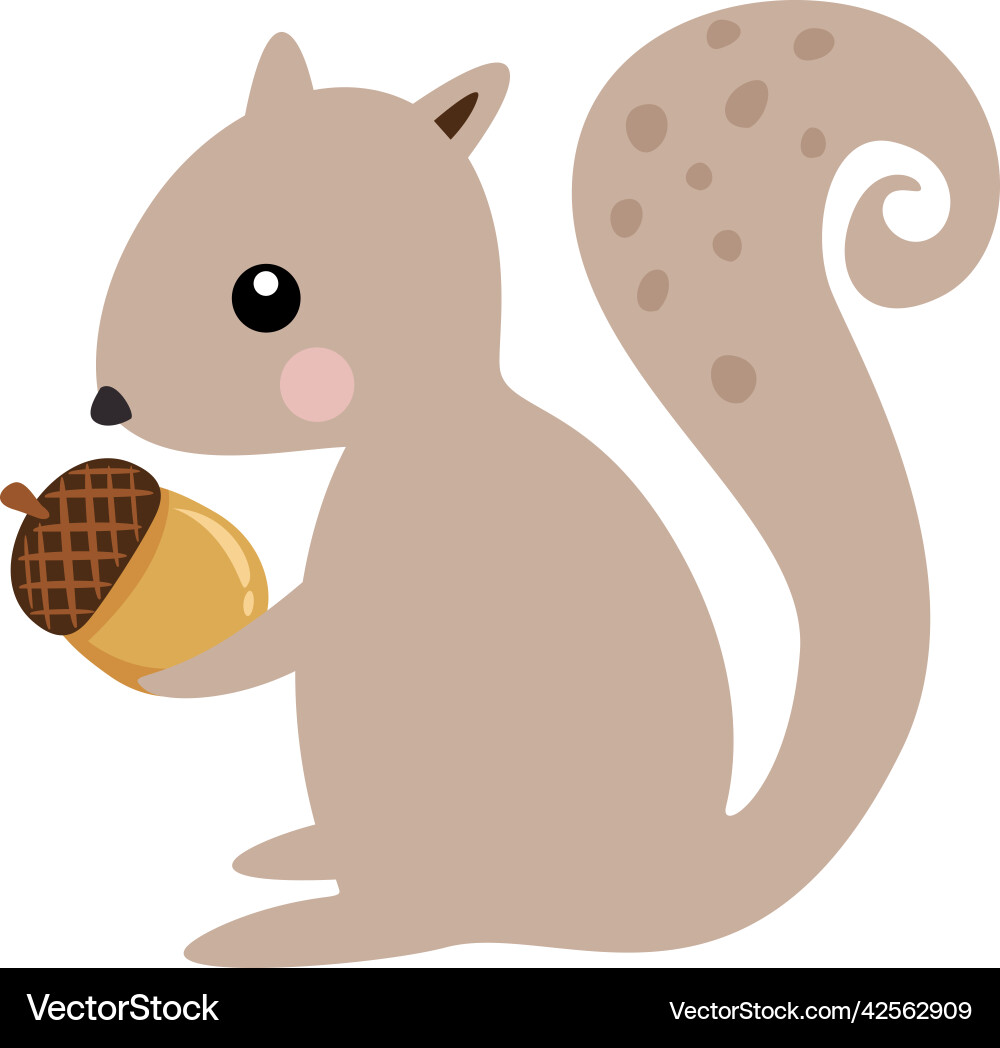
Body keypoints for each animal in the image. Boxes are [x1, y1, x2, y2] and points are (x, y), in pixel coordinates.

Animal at [88, 2, 998, 966]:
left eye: (266, 295)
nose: (107, 404)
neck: (431, 419)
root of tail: (673, 888)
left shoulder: (392, 561)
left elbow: (291, 634)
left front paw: (179, 679)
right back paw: (302, 858)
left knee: (435, 915)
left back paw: (291, 928)